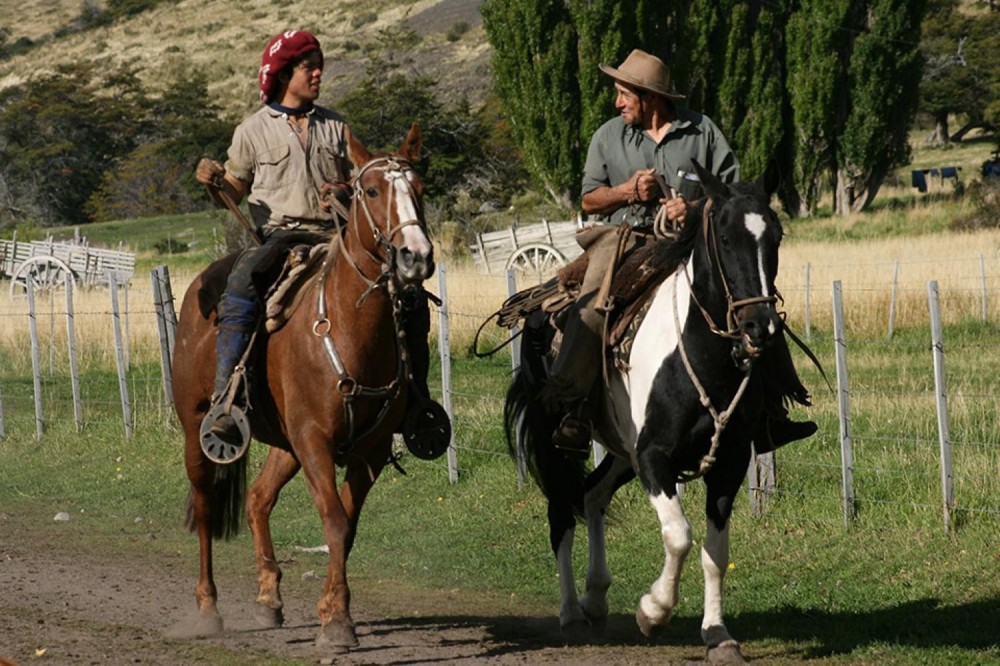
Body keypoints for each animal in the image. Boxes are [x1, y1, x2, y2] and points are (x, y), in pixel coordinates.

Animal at [169, 123, 432, 653]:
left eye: (420, 189)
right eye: (373, 191)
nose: (415, 257)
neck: (349, 326)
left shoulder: (368, 450)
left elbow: (346, 527)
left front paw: (332, 611)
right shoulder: (315, 440)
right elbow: (333, 519)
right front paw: (338, 624)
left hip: (285, 443)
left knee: (257, 499)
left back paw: (268, 598)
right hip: (197, 429)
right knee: (206, 506)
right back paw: (207, 608)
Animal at [504, 161, 802, 664]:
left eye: (776, 237)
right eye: (725, 238)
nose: (759, 326)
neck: (700, 353)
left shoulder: (729, 460)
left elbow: (715, 551)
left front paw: (717, 634)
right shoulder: (653, 456)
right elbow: (679, 535)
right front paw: (653, 611)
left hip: (621, 451)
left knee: (592, 495)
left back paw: (596, 597)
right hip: (556, 440)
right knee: (562, 512)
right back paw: (571, 612)